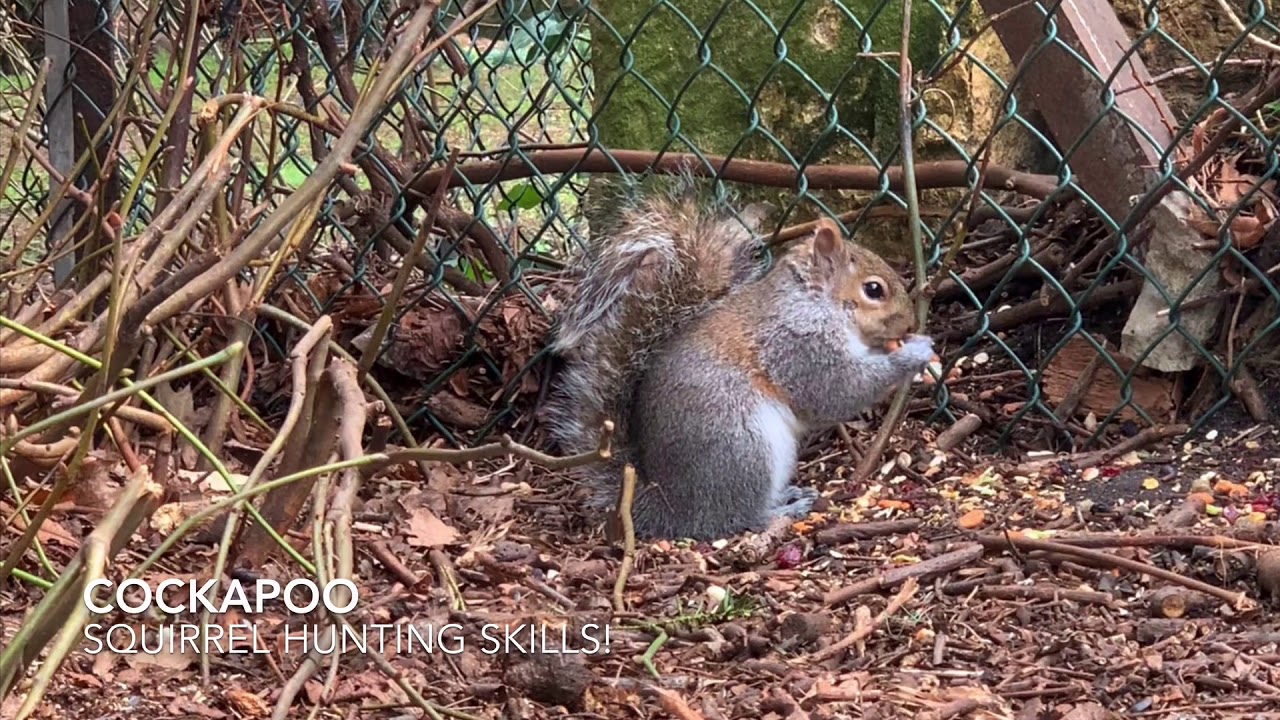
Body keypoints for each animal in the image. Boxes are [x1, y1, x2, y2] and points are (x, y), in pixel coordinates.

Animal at [544, 182, 935, 541]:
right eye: (874, 290)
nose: (909, 323)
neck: (814, 302)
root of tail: (668, 506)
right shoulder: (796, 346)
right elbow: (836, 392)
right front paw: (913, 353)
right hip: (742, 450)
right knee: (733, 519)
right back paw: (783, 510)